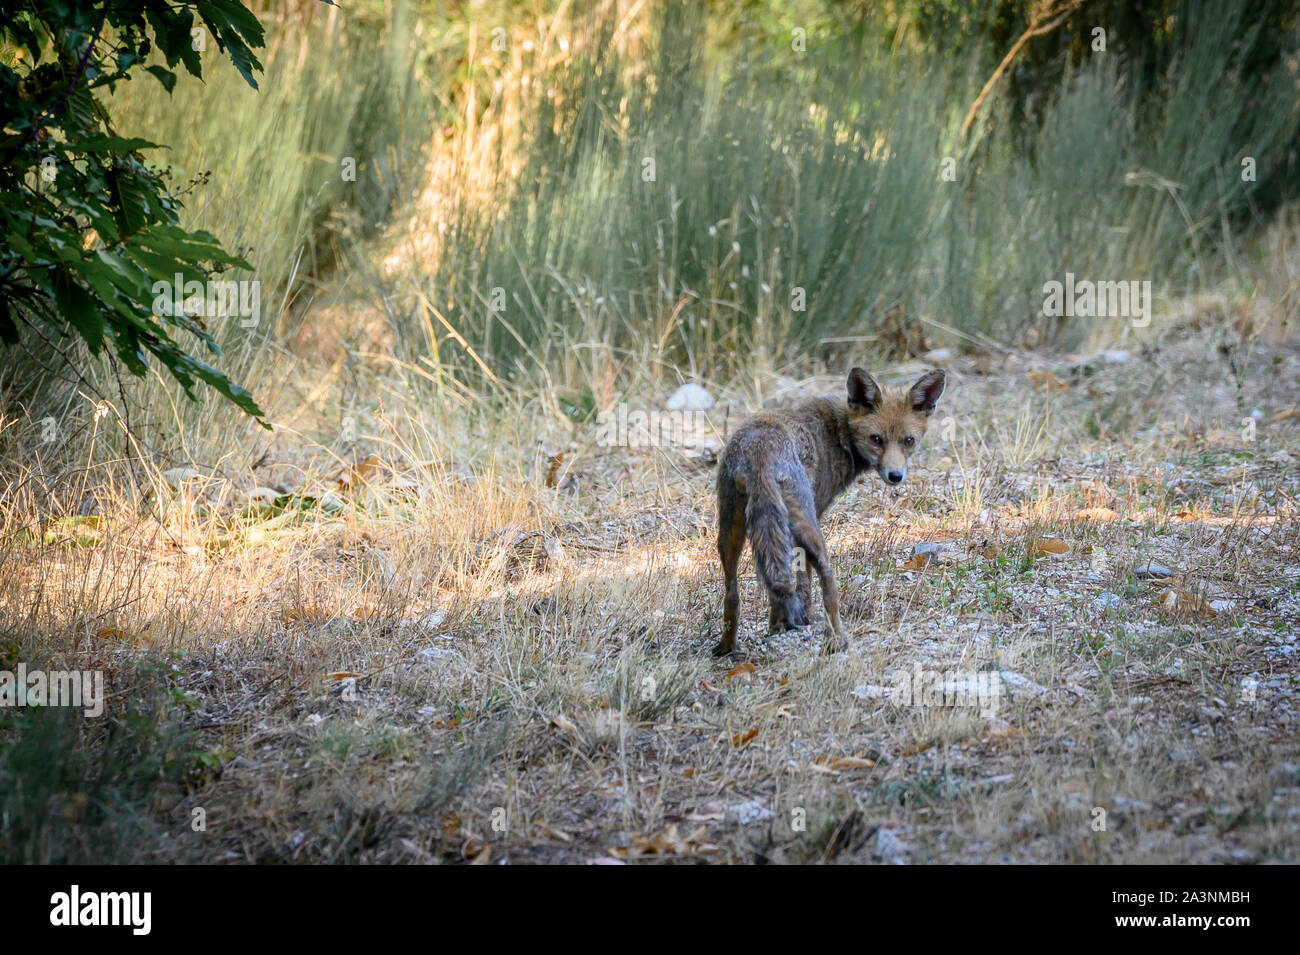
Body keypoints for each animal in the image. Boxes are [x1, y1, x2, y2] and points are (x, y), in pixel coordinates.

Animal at [713, 367, 946, 656]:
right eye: (876, 439)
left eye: (908, 441)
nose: (895, 476)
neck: (838, 433)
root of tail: (759, 450)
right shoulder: (815, 512)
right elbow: (805, 581)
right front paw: (799, 619)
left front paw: (777, 625)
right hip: (807, 526)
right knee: (829, 581)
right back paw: (837, 640)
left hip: (730, 533)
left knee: (732, 593)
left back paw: (727, 646)